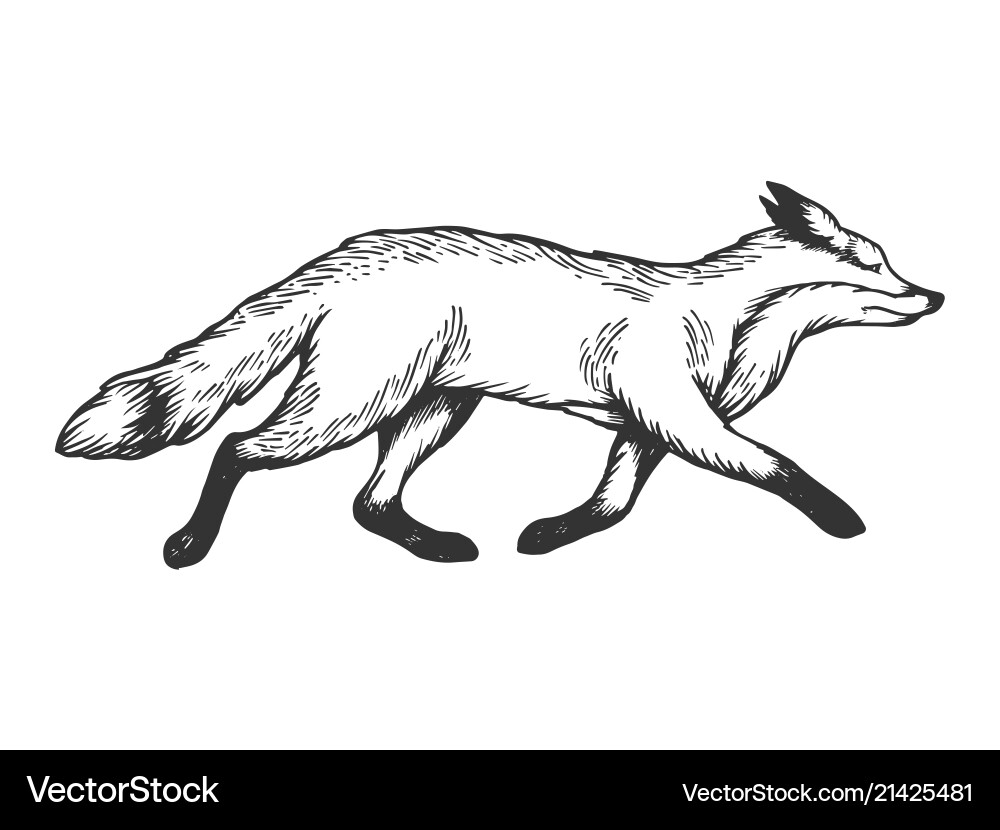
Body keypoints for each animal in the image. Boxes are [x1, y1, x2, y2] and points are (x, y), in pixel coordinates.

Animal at [56, 183, 943, 568]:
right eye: (876, 266)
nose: (934, 296)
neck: (732, 324)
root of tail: (344, 257)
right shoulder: (676, 414)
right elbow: (777, 465)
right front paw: (839, 518)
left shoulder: (647, 425)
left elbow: (613, 503)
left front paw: (556, 534)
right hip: (348, 407)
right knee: (237, 448)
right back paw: (190, 542)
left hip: (433, 411)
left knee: (370, 502)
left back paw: (428, 544)